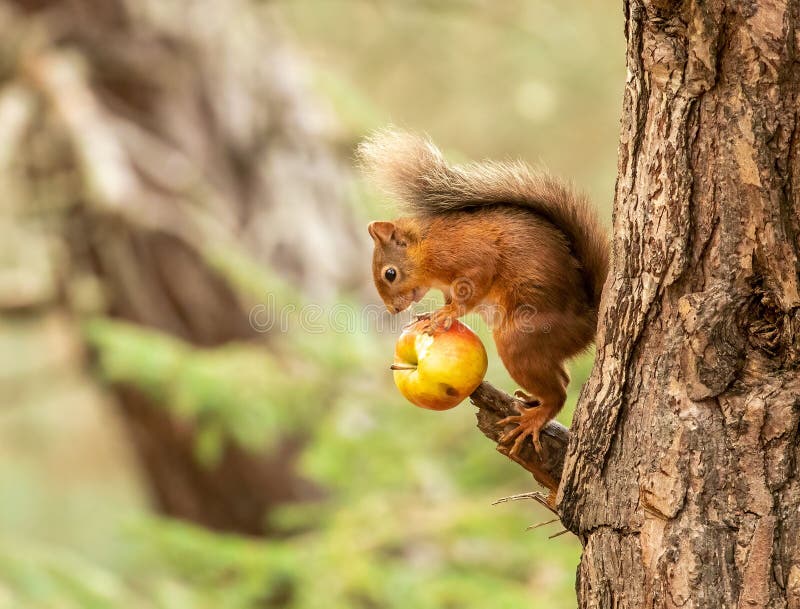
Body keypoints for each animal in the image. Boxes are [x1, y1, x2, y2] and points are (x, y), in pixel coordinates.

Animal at [359, 129, 609, 457]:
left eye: (390, 273)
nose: (393, 310)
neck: (427, 246)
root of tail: (587, 319)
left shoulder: (472, 258)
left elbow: (470, 290)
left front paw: (445, 313)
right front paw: (433, 313)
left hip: (520, 339)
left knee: (559, 393)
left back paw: (534, 418)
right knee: (563, 378)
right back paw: (531, 401)